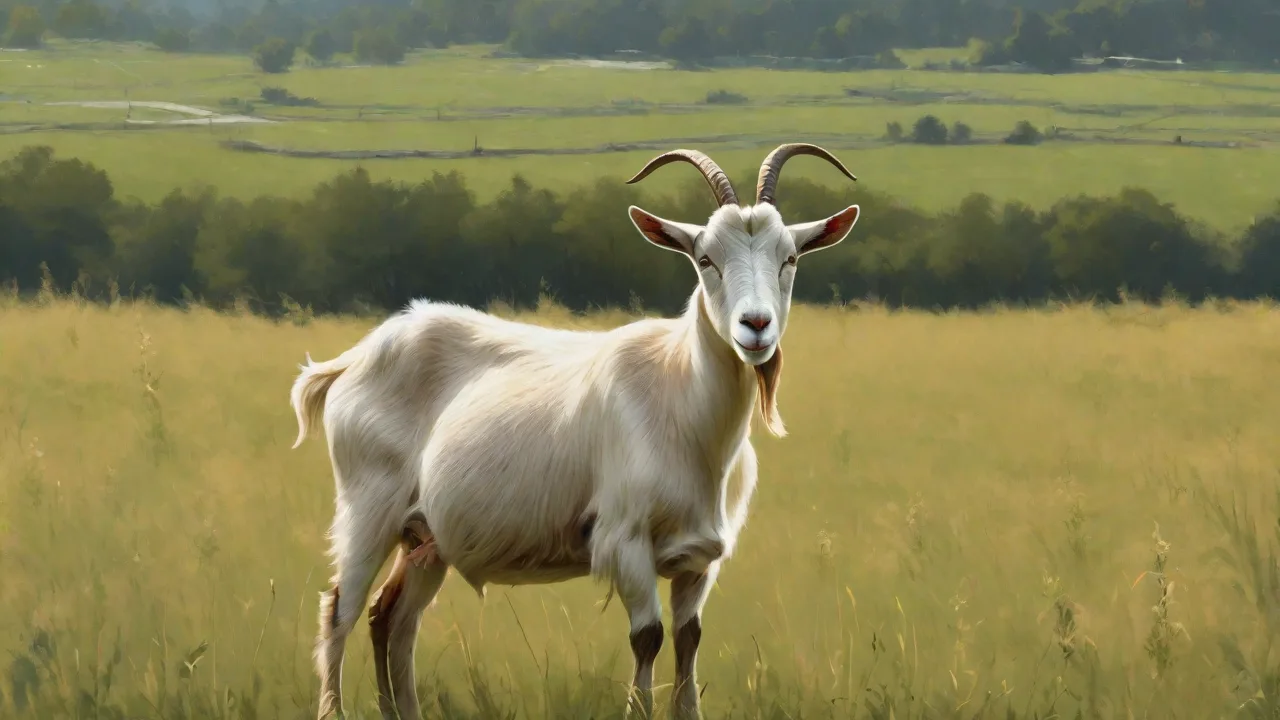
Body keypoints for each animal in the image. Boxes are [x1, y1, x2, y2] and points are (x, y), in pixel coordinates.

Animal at [289, 143, 861, 720]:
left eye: (790, 257)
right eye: (705, 259)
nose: (756, 326)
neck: (680, 400)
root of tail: (353, 360)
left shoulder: (699, 560)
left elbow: (689, 639)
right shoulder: (624, 540)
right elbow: (648, 638)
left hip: (425, 536)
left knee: (392, 618)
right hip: (368, 508)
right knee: (341, 610)